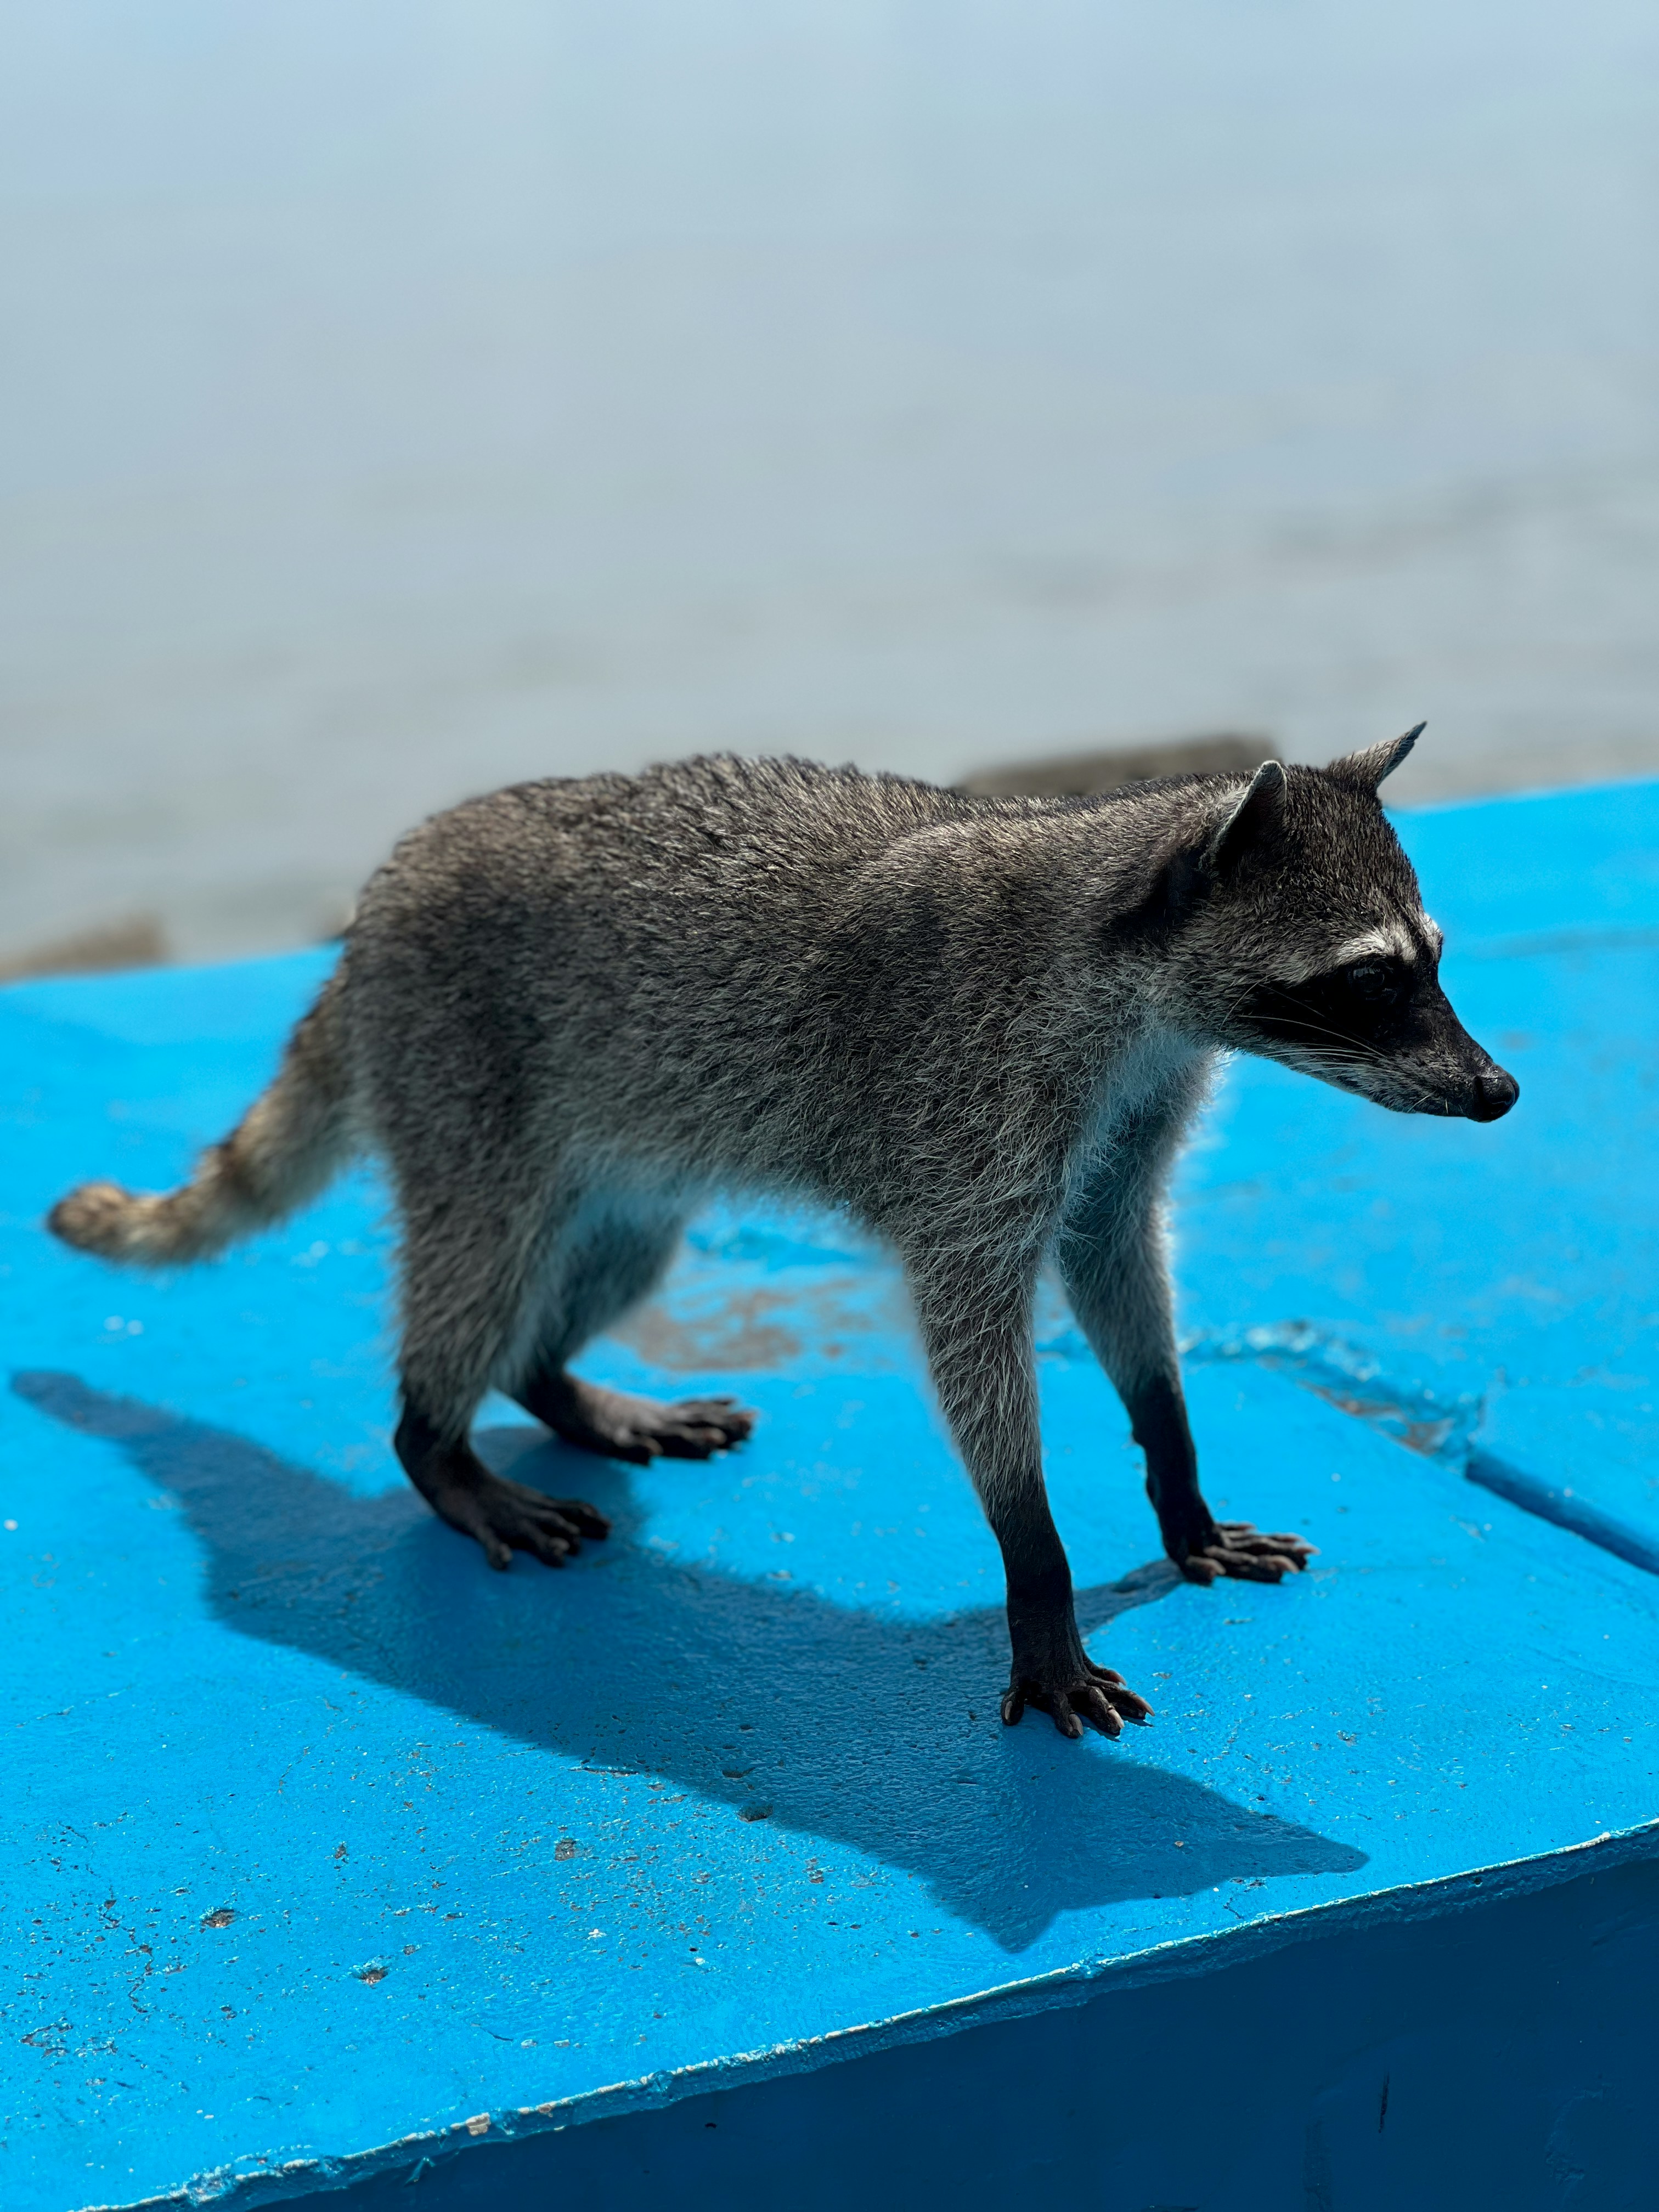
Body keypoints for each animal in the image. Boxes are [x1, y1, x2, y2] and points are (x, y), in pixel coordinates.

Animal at [49, 726, 1516, 1738]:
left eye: (1436, 961)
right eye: (1371, 980)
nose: (1498, 1090)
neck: (1140, 984)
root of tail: (366, 925)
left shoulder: (1131, 1117)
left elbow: (1118, 1267)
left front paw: (1177, 1470)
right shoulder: (969, 1118)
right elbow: (973, 1343)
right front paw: (1034, 1565)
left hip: (616, 1159)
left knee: (589, 1275)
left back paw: (559, 1386)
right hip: (458, 1072)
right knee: (477, 1266)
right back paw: (439, 1445)